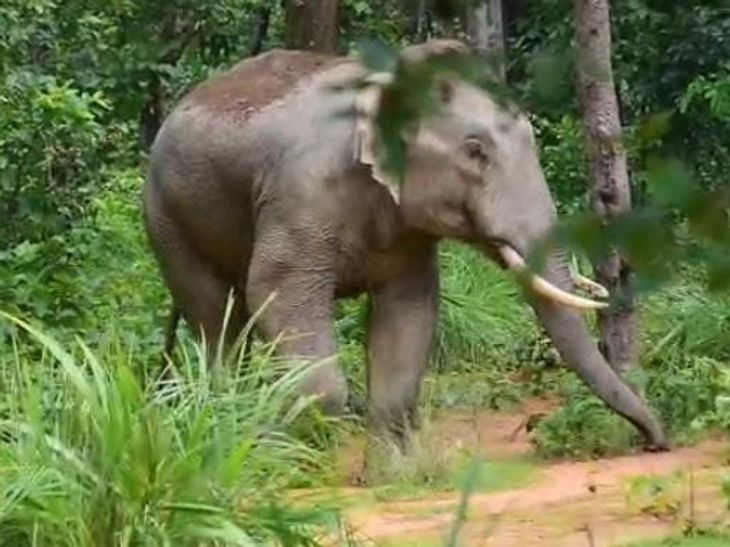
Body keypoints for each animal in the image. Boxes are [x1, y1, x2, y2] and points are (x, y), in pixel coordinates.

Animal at [141, 39, 668, 452]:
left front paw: (392, 476)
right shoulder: (299, 194)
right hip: (166, 214)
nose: (656, 442)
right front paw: (304, 461)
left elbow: (409, 309)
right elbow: (277, 292)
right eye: (475, 152)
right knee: (218, 318)